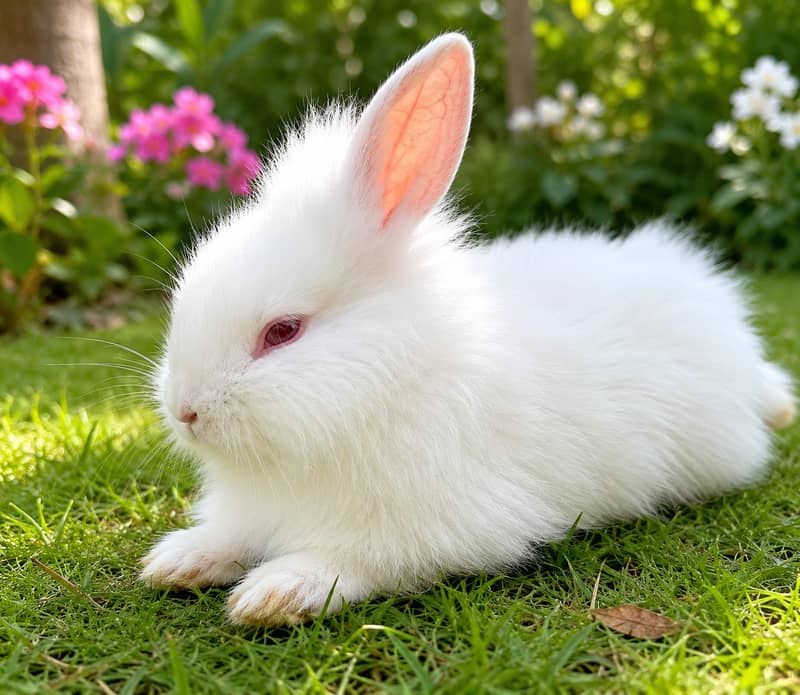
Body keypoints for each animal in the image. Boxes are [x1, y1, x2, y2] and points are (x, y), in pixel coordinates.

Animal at [140, 33, 796, 627]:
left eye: (283, 331)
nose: (184, 411)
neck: (391, 386)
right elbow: (230, 535)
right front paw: (178, 561)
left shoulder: (437, 528)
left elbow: (354, 561)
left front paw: (274, 593)